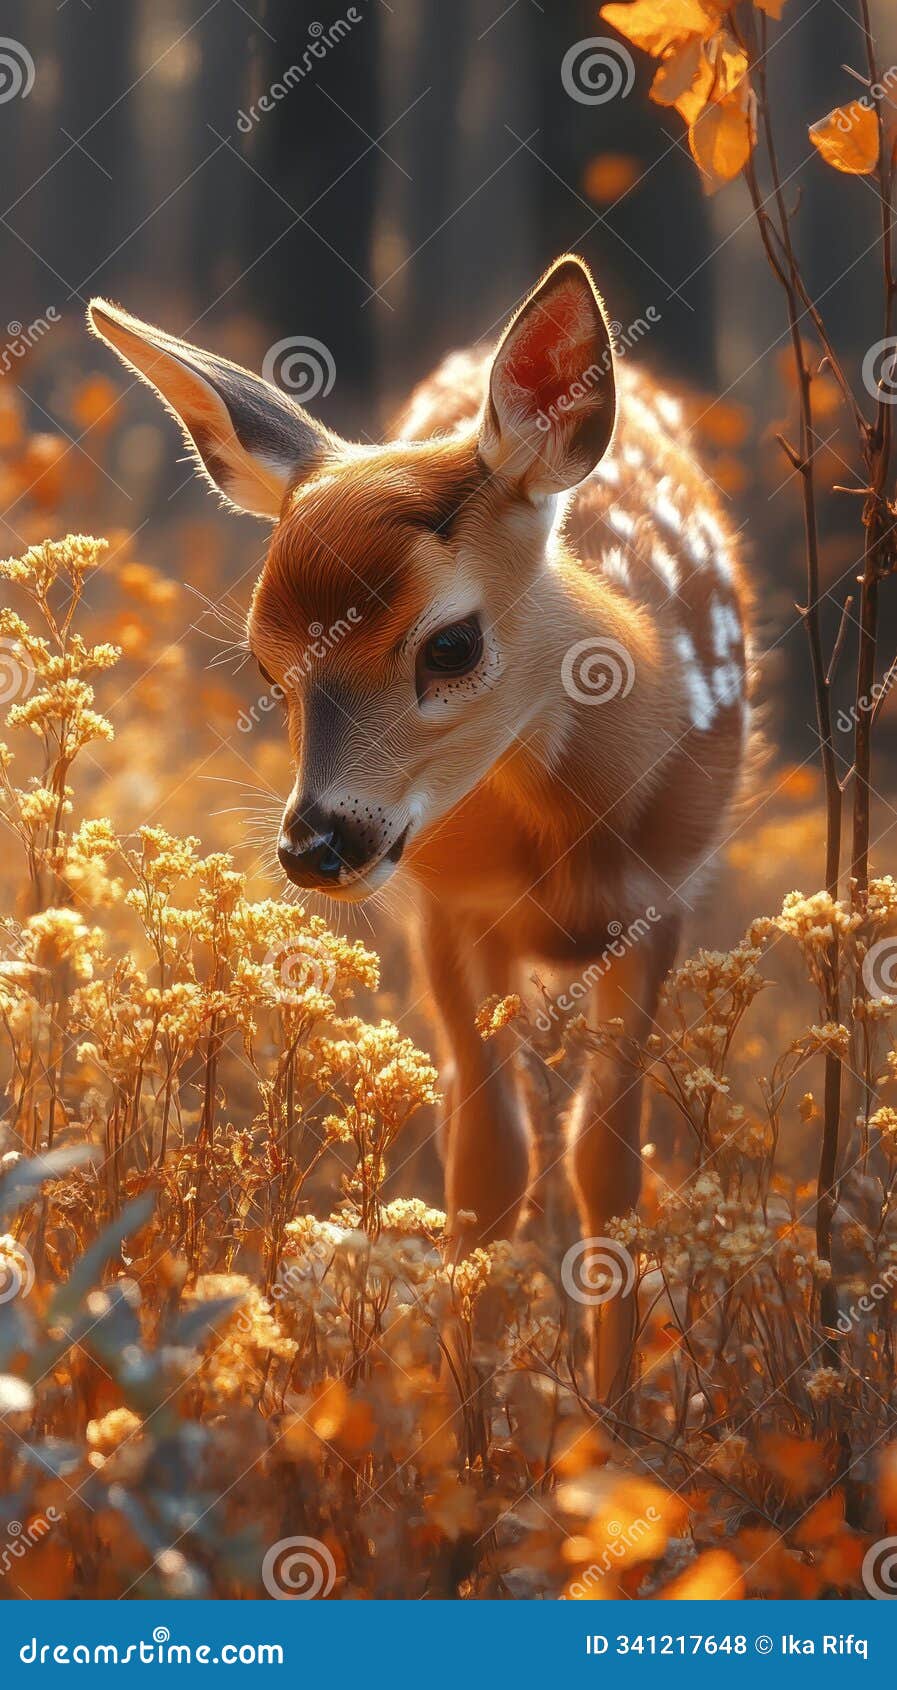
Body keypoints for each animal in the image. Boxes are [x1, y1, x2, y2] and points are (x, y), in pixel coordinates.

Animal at [88, 255, 749, 1399]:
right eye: (264, 666)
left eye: (450, 645)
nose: (315, 845)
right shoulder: (444, 906)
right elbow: (485, 1167)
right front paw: (472, 1415)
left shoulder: (663, 898)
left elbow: (607, 1167)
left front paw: (610, 1418)